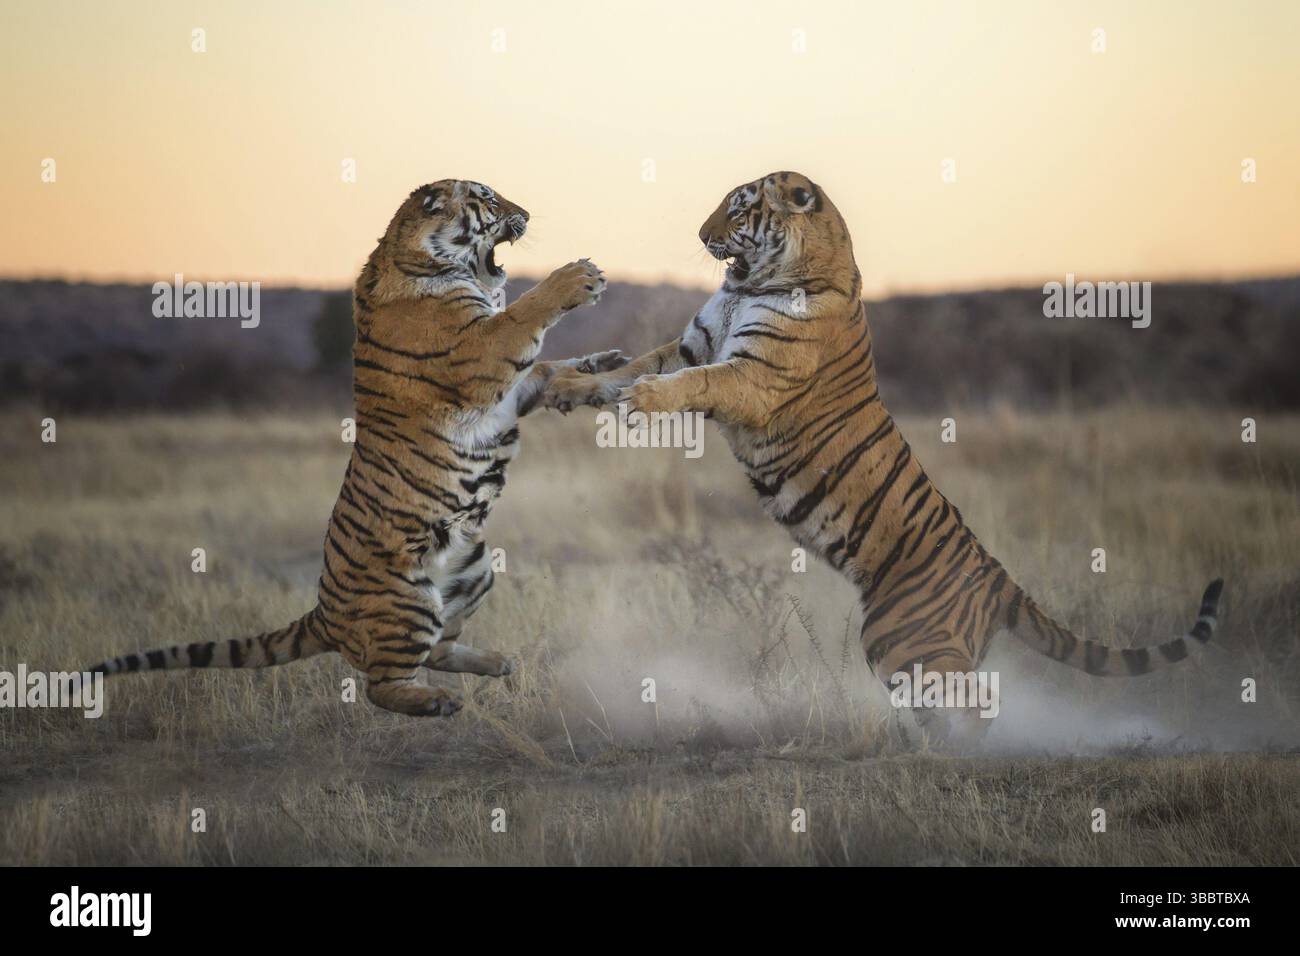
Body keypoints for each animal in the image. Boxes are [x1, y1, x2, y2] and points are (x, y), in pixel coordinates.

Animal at [88, 179, 621, 717]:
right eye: (489, 199)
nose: (526, 214)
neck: (425, 261)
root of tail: (323, 613)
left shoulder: (511, 387)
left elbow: (555, 371)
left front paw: (606, 373)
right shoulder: (481, 355)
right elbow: (522, 316)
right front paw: (578, 278)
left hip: (475, 569)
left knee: (440, 650)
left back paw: (499, 662)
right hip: (409, 604)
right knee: (382, 684)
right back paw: (439, 701)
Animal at [543, 170, 1224, 744]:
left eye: (739, 208)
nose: (701, 234)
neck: (756, 283)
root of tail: (997, 576)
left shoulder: (750, 378)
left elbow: (690, 383)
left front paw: (641, 400)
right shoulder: (693, 345)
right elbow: (631, 365)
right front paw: (564, 385)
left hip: (903, 639)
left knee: (977, 708)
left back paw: (946, 757)